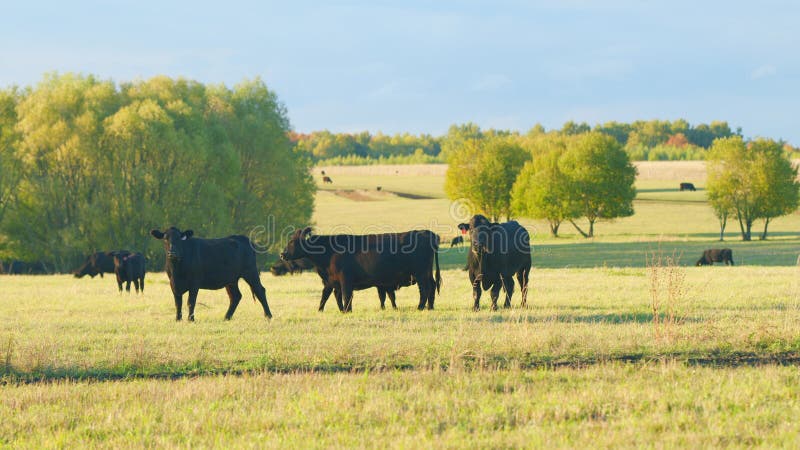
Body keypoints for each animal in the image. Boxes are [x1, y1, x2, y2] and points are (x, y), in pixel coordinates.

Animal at [280, 228, 441, 312]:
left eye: (292, 241)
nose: (282, 254)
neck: (329, 251)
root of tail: (426, 232)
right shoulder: (330, 281)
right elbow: (327, 296)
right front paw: (325, 311)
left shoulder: (345, 280)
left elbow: (346, 296)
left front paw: (347, 311)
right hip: (426, 273)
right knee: (432, 287)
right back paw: (430, 307)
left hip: (420, 274)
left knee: (425, 289)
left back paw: (420, 307)